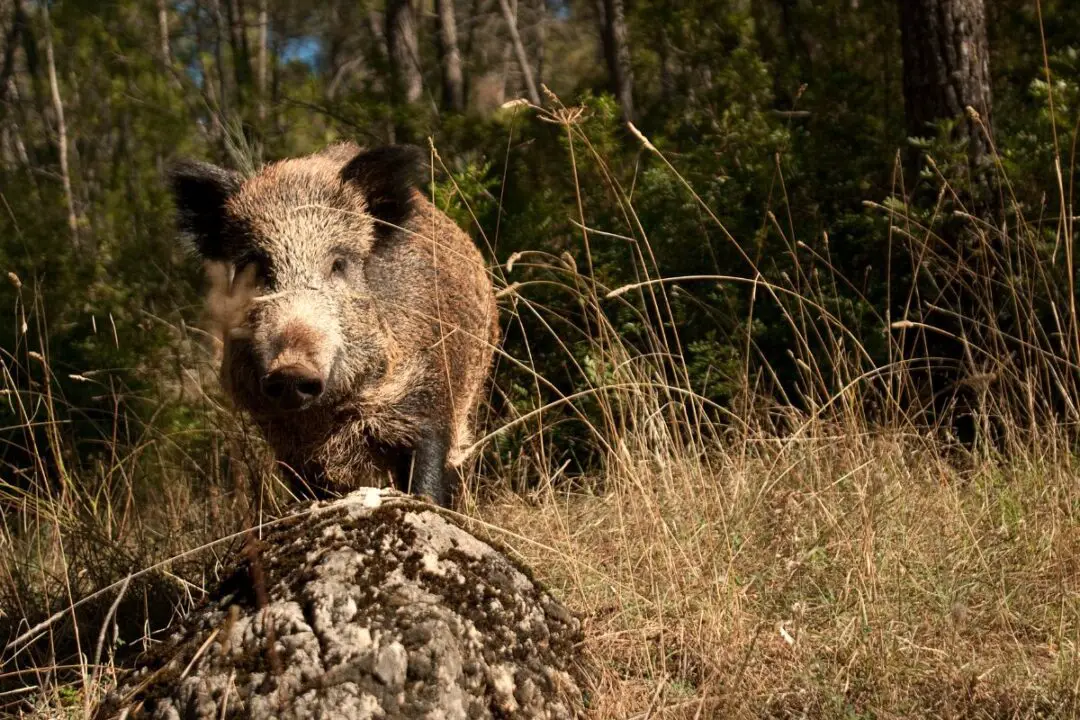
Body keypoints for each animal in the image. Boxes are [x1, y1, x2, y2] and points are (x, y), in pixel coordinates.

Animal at [169, 143, 499, 507]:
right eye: (257, 268)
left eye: (338, 264)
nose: (290, 368)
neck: (330, 416)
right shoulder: (286, 442)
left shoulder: (430, 396)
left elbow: (426, 477)